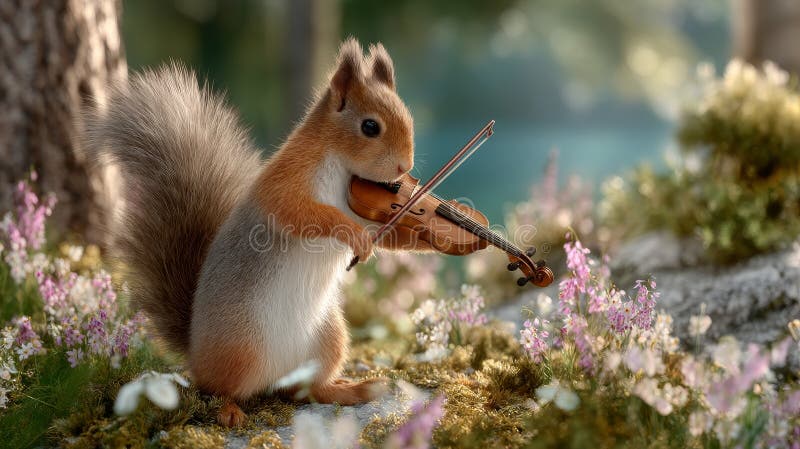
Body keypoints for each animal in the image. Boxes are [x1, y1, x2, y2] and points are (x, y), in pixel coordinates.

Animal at [85, 38, 416, 427]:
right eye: (369, 127)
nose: (405, 167)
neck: (342, 169)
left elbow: (394, 233)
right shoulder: (284, 188)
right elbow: (306, 215)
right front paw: (353, 234)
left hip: (329, 340)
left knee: (304, 389)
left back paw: (349, 390)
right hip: (240, 348)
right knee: (218, 388)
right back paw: (229, 411)